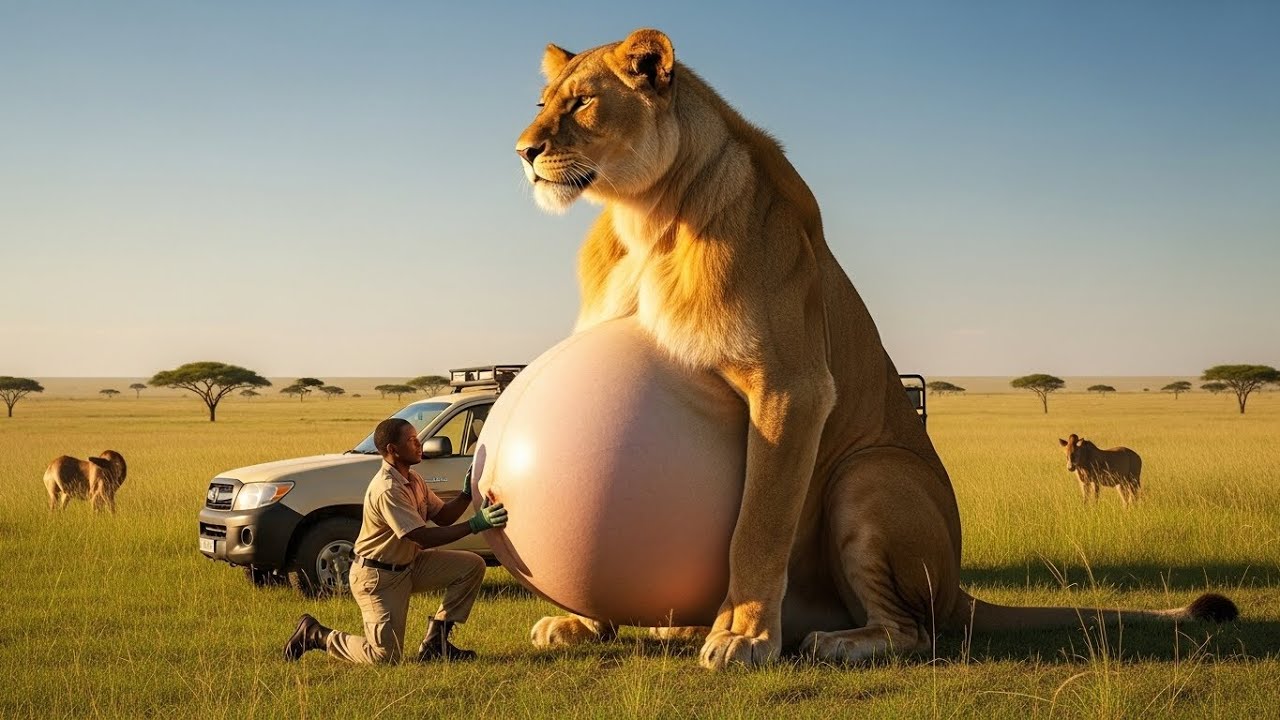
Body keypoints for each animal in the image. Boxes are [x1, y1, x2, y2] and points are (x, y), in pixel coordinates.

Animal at [515, 29, 1237, 669]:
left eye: (581, 103)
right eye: (543, 102)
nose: (522, 151)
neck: (646, 216)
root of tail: (961, 590)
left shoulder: (791, 385)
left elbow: (758, 526)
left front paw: (744, 638)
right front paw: (583, 623)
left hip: (869, 473)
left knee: (915, 630)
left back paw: (835, 641)